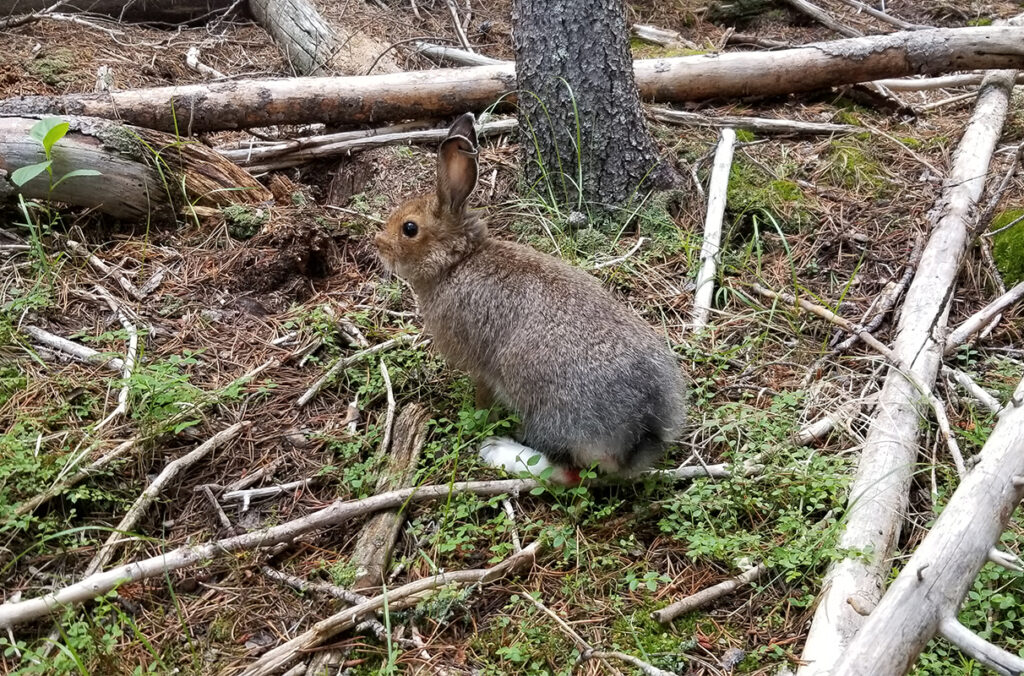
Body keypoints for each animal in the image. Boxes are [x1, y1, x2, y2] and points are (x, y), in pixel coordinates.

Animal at [374, 113, 686, 484]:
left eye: (409, 228)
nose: (378, 245)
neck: (456, 262)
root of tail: (640, 432)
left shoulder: (481, 368)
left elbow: (483, 398)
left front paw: (479, 419)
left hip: (542, 406)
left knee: (568, 472)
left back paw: (497, 450)